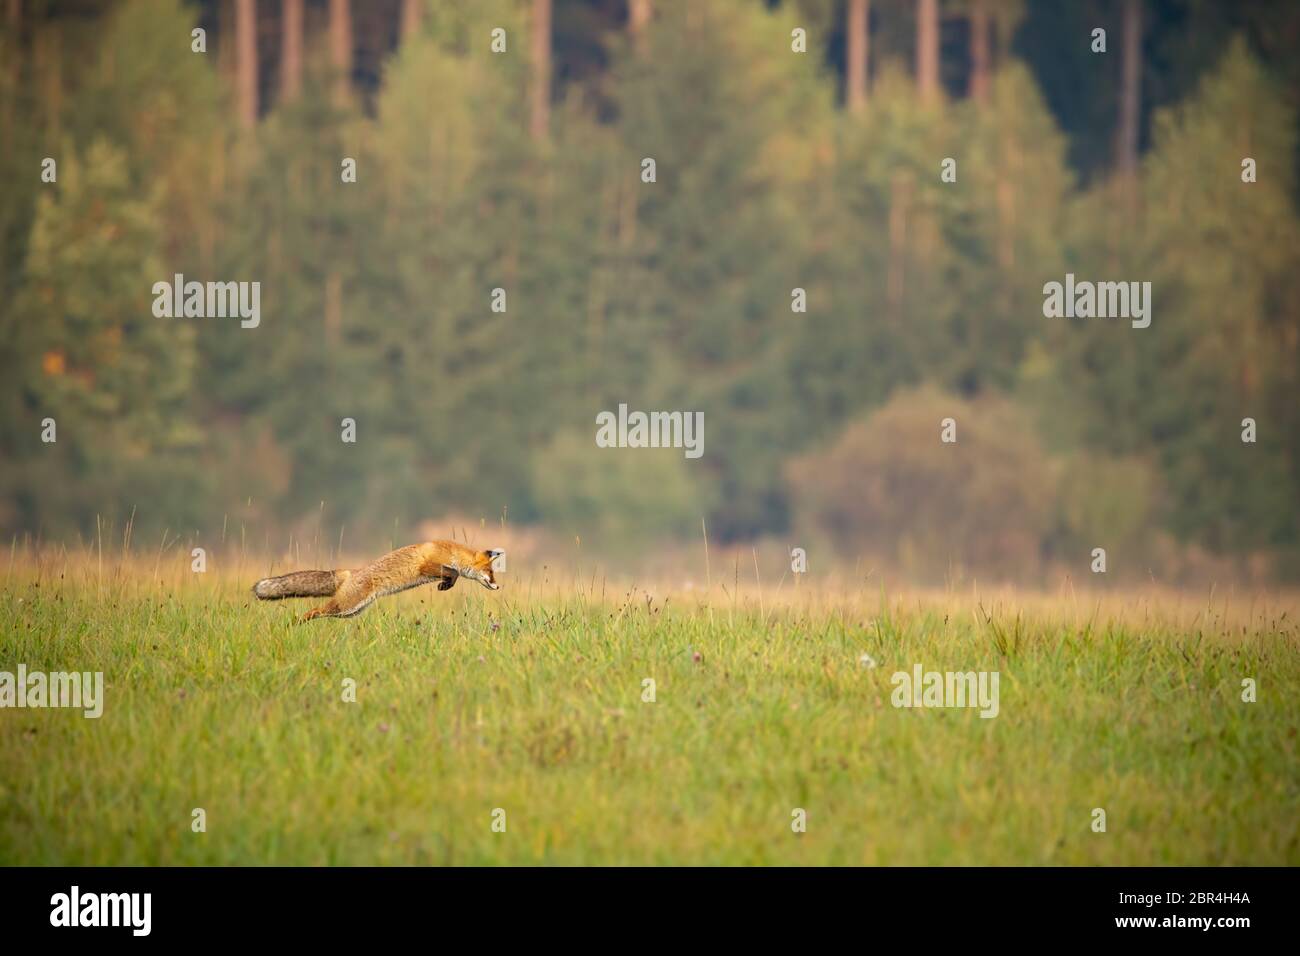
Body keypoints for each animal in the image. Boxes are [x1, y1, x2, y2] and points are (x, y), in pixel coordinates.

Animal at [252, 540, 503, 621]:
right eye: (491, 572)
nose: (498, 586)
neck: (451, 551)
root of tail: (351, 572)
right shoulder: (428, 565)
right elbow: (454, 573)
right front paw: (445, 584)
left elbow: (452, 574)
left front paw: (444, 585)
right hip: (346, 606)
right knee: (313, 610)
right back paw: (294, 624)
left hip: (350, 612)